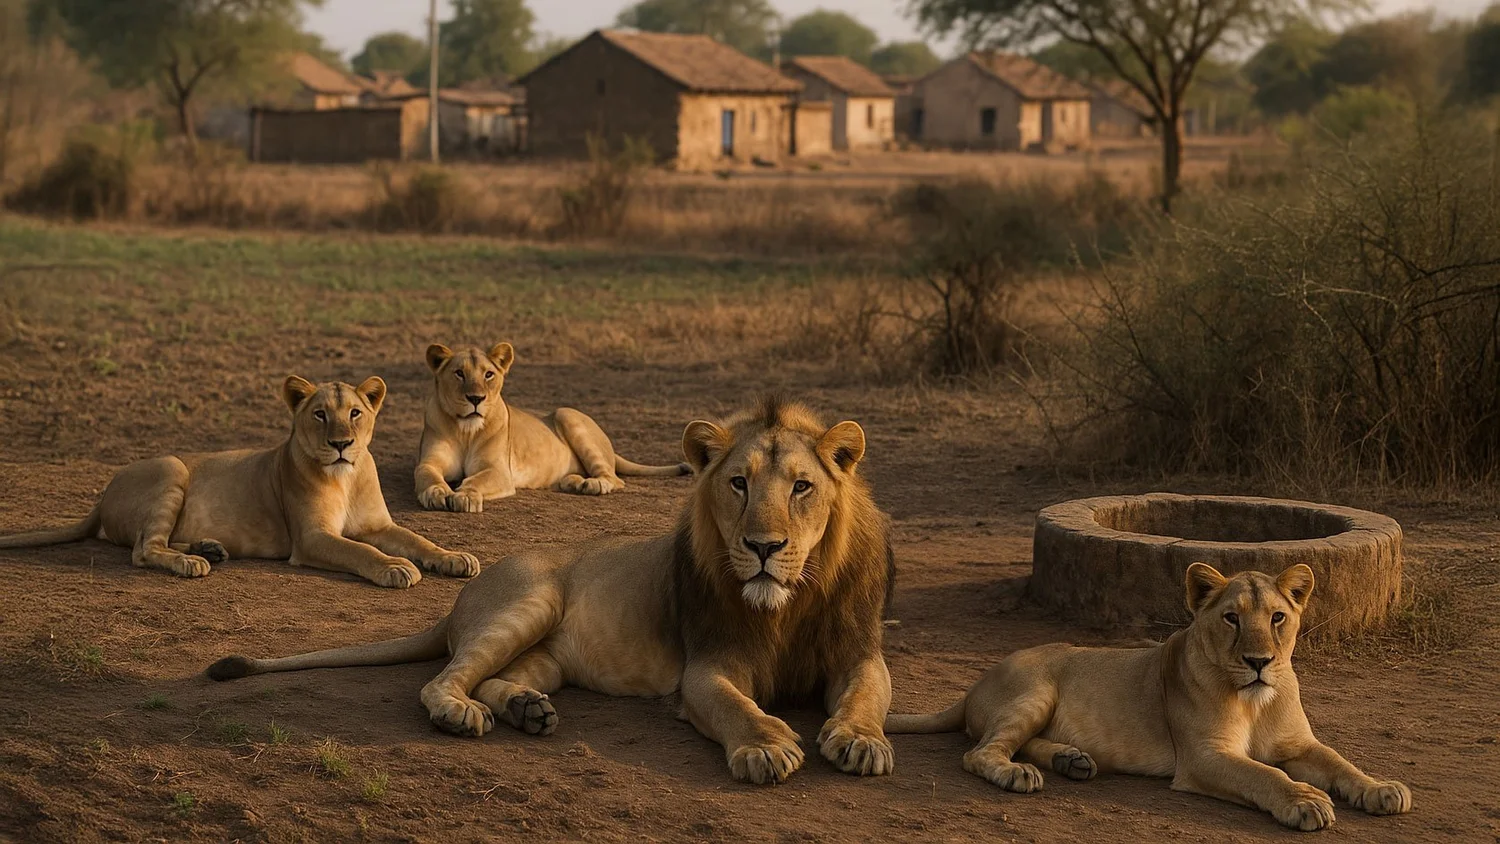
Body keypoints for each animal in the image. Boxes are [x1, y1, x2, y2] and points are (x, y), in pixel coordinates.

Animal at [0, 376, 479, 589]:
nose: (342, 444)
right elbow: (360, 550)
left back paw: (208, 548)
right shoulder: (311, 538)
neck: (344, 475)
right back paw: (192, 563)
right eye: (319, 414)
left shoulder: (379, 525)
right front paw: (395, 568)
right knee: (144, 549)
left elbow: (419, 540)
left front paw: (455, 558)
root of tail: (102, 497)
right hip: (171, 468)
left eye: (355, 413)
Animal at [209, 397, 896, 785]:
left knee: (492, 677)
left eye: (802, 487)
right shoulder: (708, 664)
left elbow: (868, 695)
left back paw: (526, 709)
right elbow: (734, 705)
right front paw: (767, 746)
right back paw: (463, 714)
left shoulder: (858, 653)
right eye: (738, 484)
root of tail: (461, 599)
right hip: (530, 601)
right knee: (444, 679)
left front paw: (862, 741)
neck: (791, 603)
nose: (763, 548)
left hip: (547, 657)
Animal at [414, 343, 689, 512]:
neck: (466, 430)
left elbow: (477, 479)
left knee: (614, 478)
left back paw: (592, 485)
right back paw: (574, 483)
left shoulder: (499, 471)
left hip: (567, 414)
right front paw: (436, 492)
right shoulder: (429, 461)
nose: (475, 399)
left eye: (488, 374)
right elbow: (427, 474)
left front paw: (465, 495)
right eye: (459, 373)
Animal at [886, 563, 1412, 830]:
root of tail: (975, 684)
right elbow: (1262, 774)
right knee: (980, 752)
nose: (1259, 661)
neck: (1255, 700)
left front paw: (1382, 789)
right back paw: (1020, 774)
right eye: (1232, 618)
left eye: (1278, 617)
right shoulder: (1203, 756)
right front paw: (1305, 801)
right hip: (1033, 692)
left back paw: (1073, 761)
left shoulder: (1299, 744)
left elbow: (1341, 762)